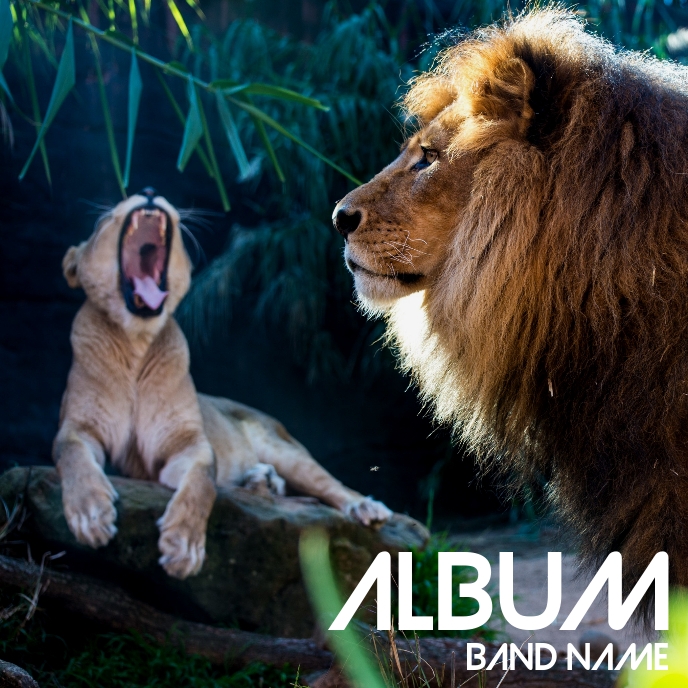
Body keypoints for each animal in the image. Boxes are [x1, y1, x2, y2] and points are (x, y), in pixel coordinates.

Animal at [56, 189, 391, 579]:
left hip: (285, 448)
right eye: (103, 220)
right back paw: (260, 480)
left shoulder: (190, 444)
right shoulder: (78, 428)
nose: (151, 192)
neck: (136, 343)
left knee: (330, 484)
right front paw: (91, 517)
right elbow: (73, 455)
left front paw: (183, 548)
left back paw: (365, 507)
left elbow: (202, 484)